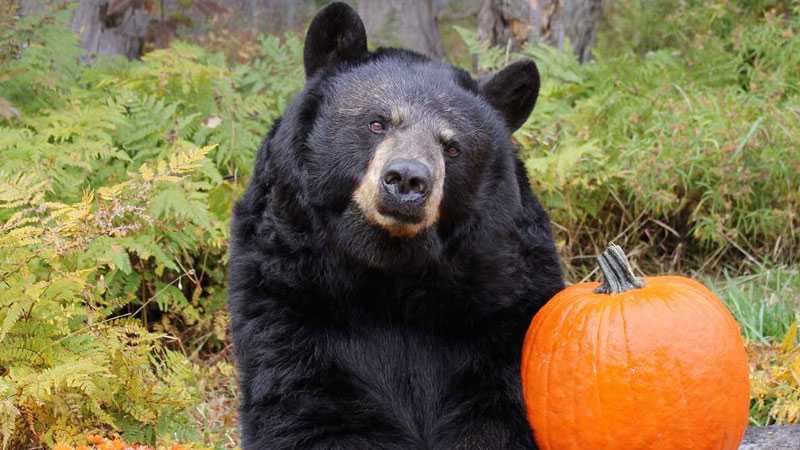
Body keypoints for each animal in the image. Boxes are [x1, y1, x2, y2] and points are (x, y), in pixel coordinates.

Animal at [227, 3, 564, 449]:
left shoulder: (502, 301)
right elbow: (308, 408)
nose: (407, 180)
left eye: (451, 146)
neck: (391, 275)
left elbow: (495, 411)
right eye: (377, 123)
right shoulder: (289, 294)